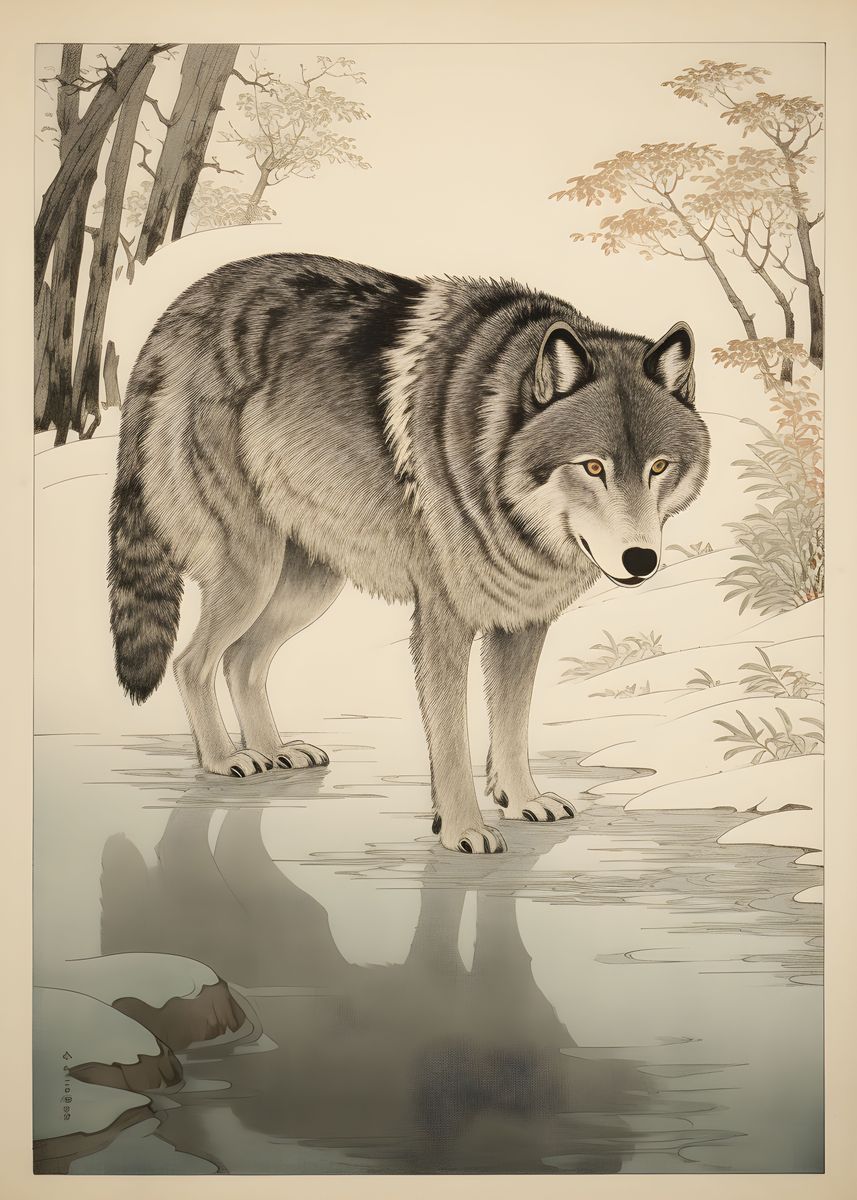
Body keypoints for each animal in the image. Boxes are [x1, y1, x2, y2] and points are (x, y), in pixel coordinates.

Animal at [108, 252, 709, 854]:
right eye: (593, 467)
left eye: (658, 466)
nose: (641, 561)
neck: (490, 455)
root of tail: (176, 316)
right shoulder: (443, 621)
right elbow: (450, 737)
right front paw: (463, 829)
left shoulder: (522, 621)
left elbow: (512, 725)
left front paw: (522, 799)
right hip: (252, 574)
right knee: (191, 663)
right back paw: (224, 759)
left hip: (306, 587)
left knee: (241, 660)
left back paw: (274, 750)